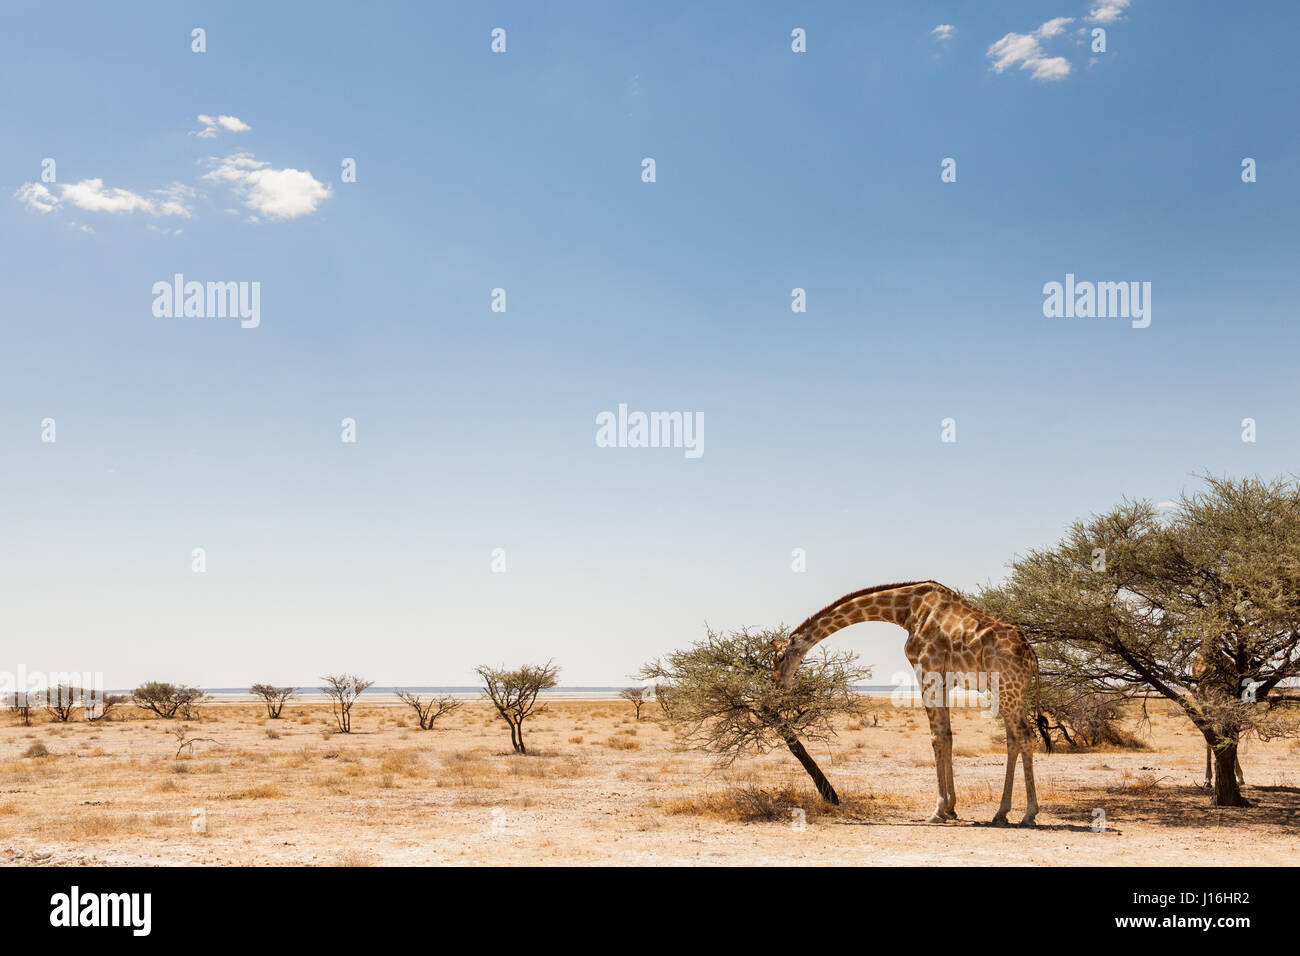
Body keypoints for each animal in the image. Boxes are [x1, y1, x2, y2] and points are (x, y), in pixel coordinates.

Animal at [773, 581, 1051, 826]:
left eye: (780, 657)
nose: (777, 686)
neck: (906, 611)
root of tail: (1032, 655)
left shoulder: (926, 672)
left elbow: (936, 738)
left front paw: (938, 810)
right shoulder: (943, 681)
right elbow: (947, 736)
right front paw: (951, 809)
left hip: (1008, 689)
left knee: (1025, 736)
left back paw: (1029, 814)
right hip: (1008, 692)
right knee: (1013, 739)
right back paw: (1001, 813)